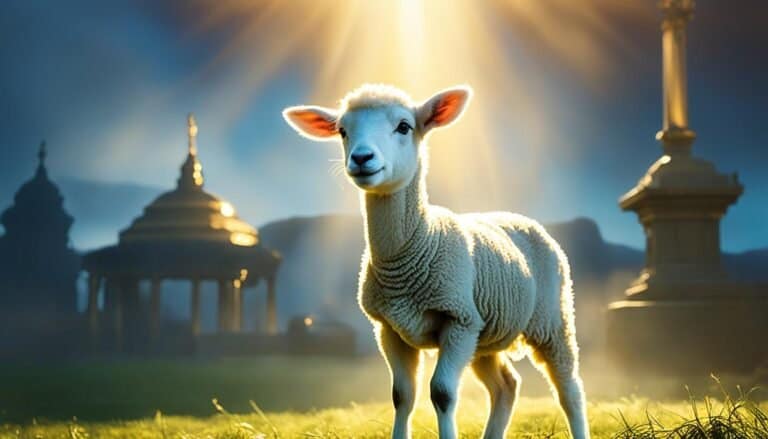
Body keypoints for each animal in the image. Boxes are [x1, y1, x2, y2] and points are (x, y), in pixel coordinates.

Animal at [282, 84, 589, 439]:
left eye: (404, 126)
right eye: (343, 131)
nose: (361, 158)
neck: (415, 247)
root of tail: (521, 218)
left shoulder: (458, 319)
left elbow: (442, 393)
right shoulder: (390, 328)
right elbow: (402, 396)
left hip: (551, 320)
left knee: (569, 389)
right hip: (485, 335)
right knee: (506, 385)